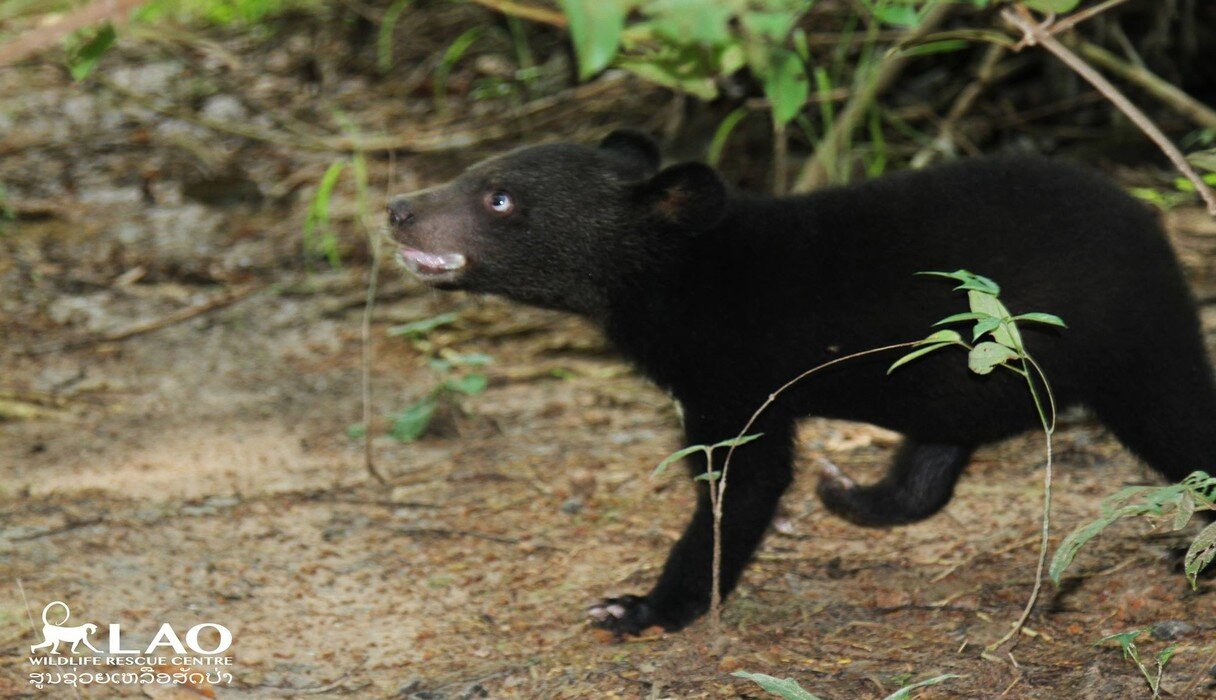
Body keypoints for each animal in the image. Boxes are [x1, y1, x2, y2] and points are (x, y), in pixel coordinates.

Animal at [386, 130, 1216, 637]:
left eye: (499, 198)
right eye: (471, 172)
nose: (397, 208)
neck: (685, 277)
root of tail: (1156, 233)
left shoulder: (730, 377)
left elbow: (742, 486)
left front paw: (640, 608)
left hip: (1136, 349)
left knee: (1184, 427)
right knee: (940, 448)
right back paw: (854, 495)